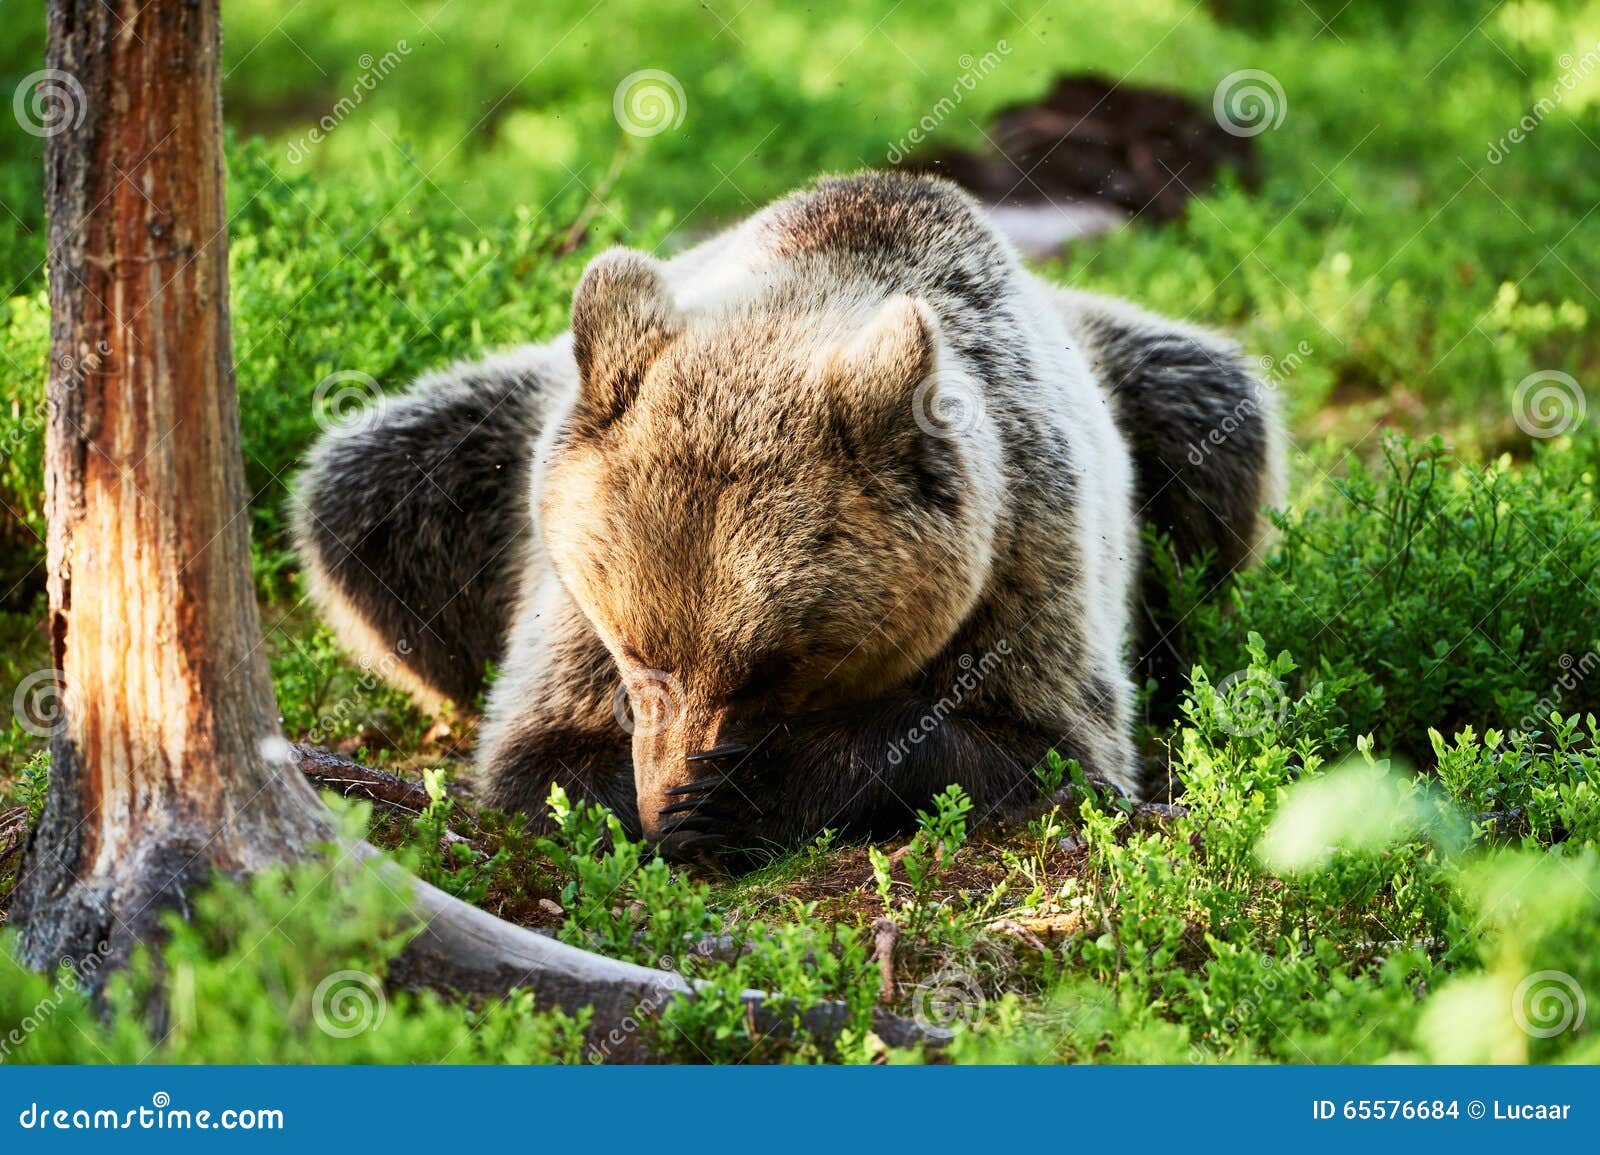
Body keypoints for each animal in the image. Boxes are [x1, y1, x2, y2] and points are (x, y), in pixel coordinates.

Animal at [293, 171, 1282, 861]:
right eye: (637, 651)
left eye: (770, 665)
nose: (662, 797)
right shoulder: (564, 585)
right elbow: (536, 748)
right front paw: (632, 804)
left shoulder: (1030, 543)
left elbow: (1047, 746)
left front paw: (734, 796)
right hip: (498, 427)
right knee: (362, 498)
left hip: (1151, 392)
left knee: (1217, 425)